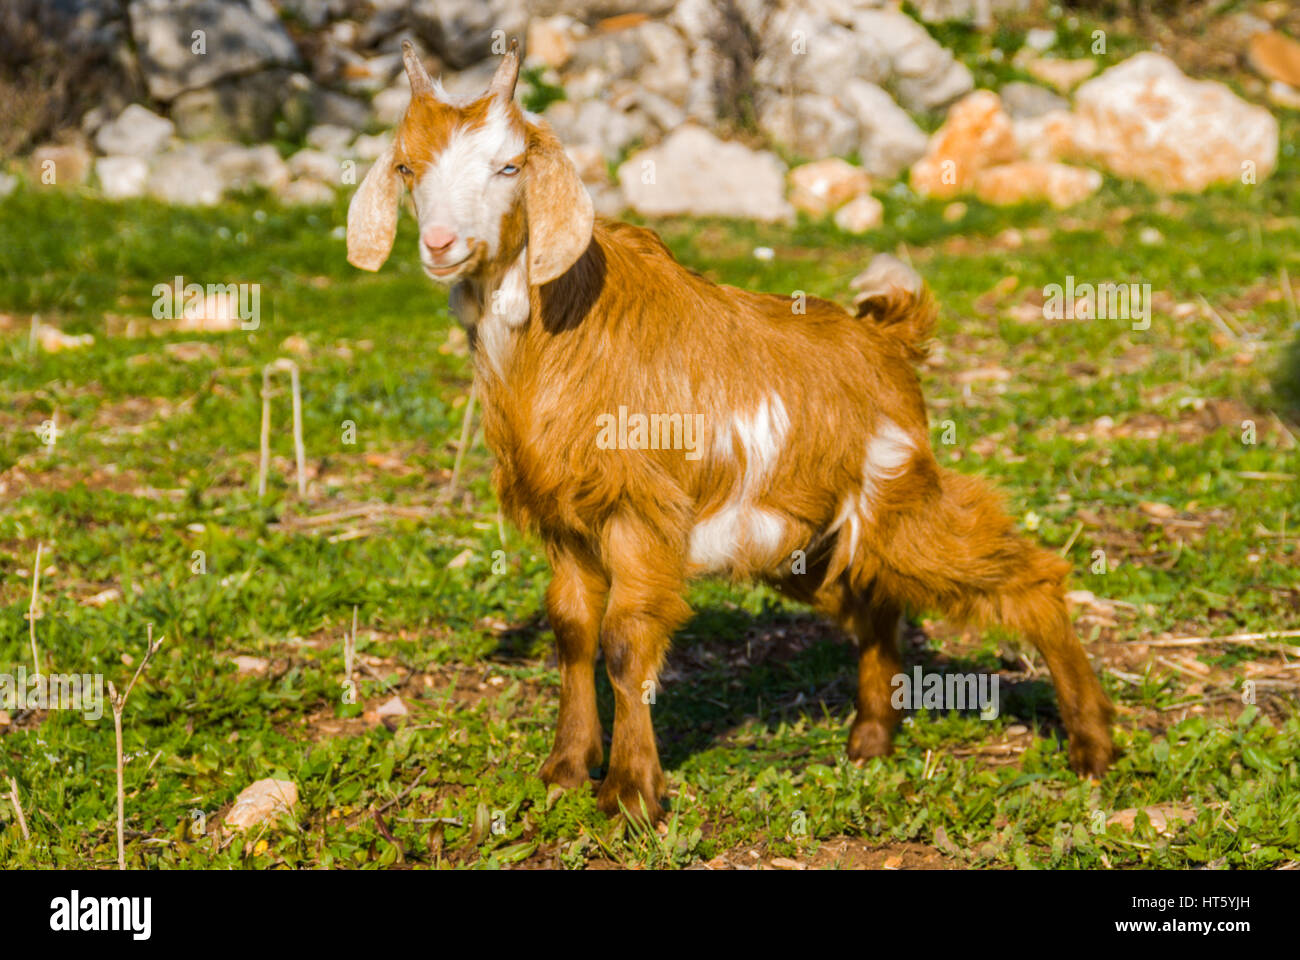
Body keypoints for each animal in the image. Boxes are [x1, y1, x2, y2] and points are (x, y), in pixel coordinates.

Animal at [347, 40, 1116, 821]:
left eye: (509, 166)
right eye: (406, 167)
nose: (440, 243)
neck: (559, 335)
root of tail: (887, 338)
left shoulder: (641, 510)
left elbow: (625, 641)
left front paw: (631, 793)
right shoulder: (563, 517)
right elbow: (572, 629)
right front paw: (565, 770)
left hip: (900, 494)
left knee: (1028, 577)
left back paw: (1093, 745)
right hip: (810, 538)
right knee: (875, 600)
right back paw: (871, 737)